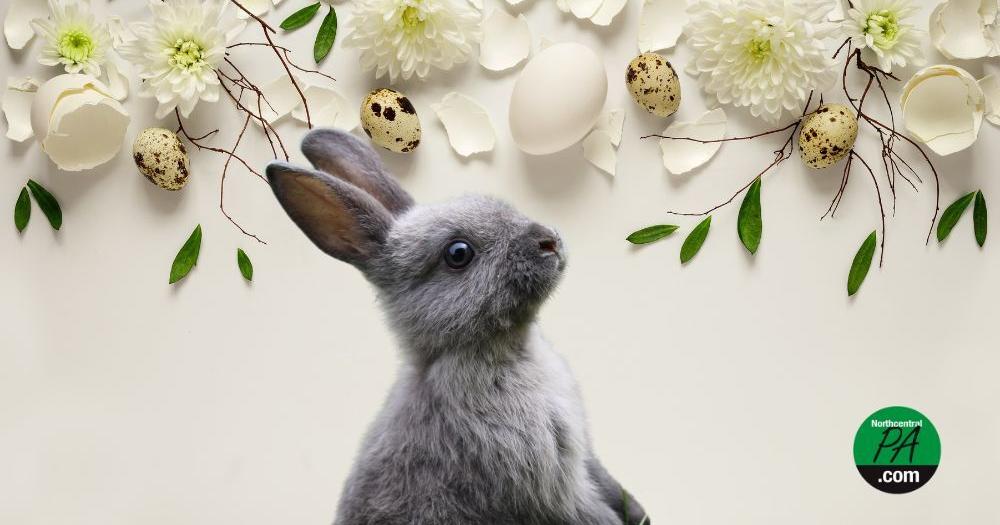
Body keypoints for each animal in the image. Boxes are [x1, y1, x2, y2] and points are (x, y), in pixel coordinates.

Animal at [266, 128, 649, 525]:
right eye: (458, 253)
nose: (548, 241)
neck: (500, 347)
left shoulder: (581, 456)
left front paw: (639, 511)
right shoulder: (550, 489)